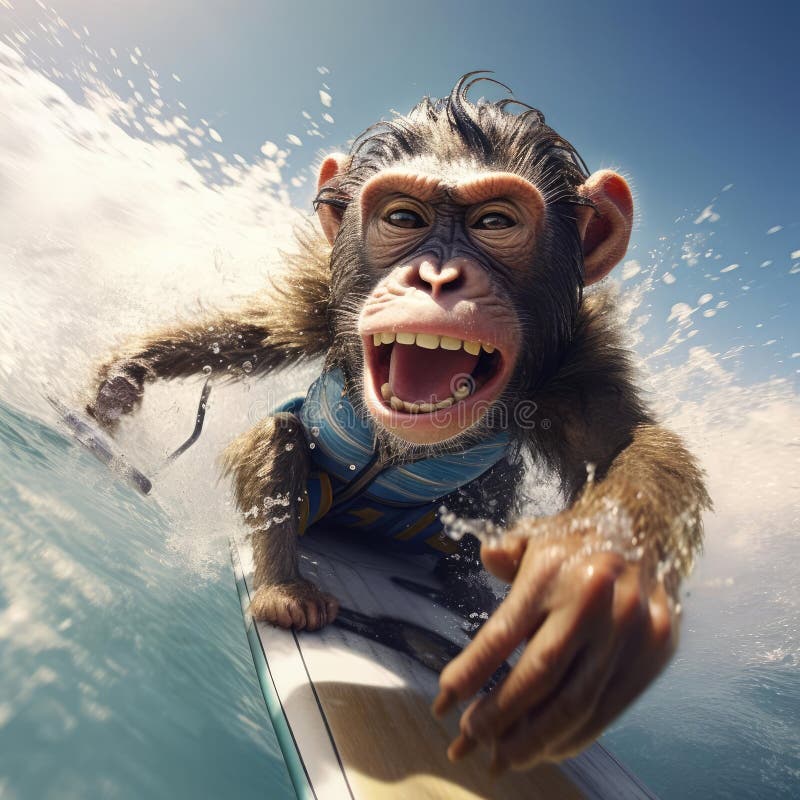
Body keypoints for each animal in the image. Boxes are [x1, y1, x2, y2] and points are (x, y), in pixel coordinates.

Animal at [87, 74, 710, 768]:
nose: (437, 277)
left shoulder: (580, 353)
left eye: (495, 222)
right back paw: (284, 588)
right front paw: (125, 375)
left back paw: (469, 597)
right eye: (404, 218)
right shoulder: (319, 289)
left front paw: (595, 569)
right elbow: (252, 334)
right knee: (281, 435)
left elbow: (620, 444)